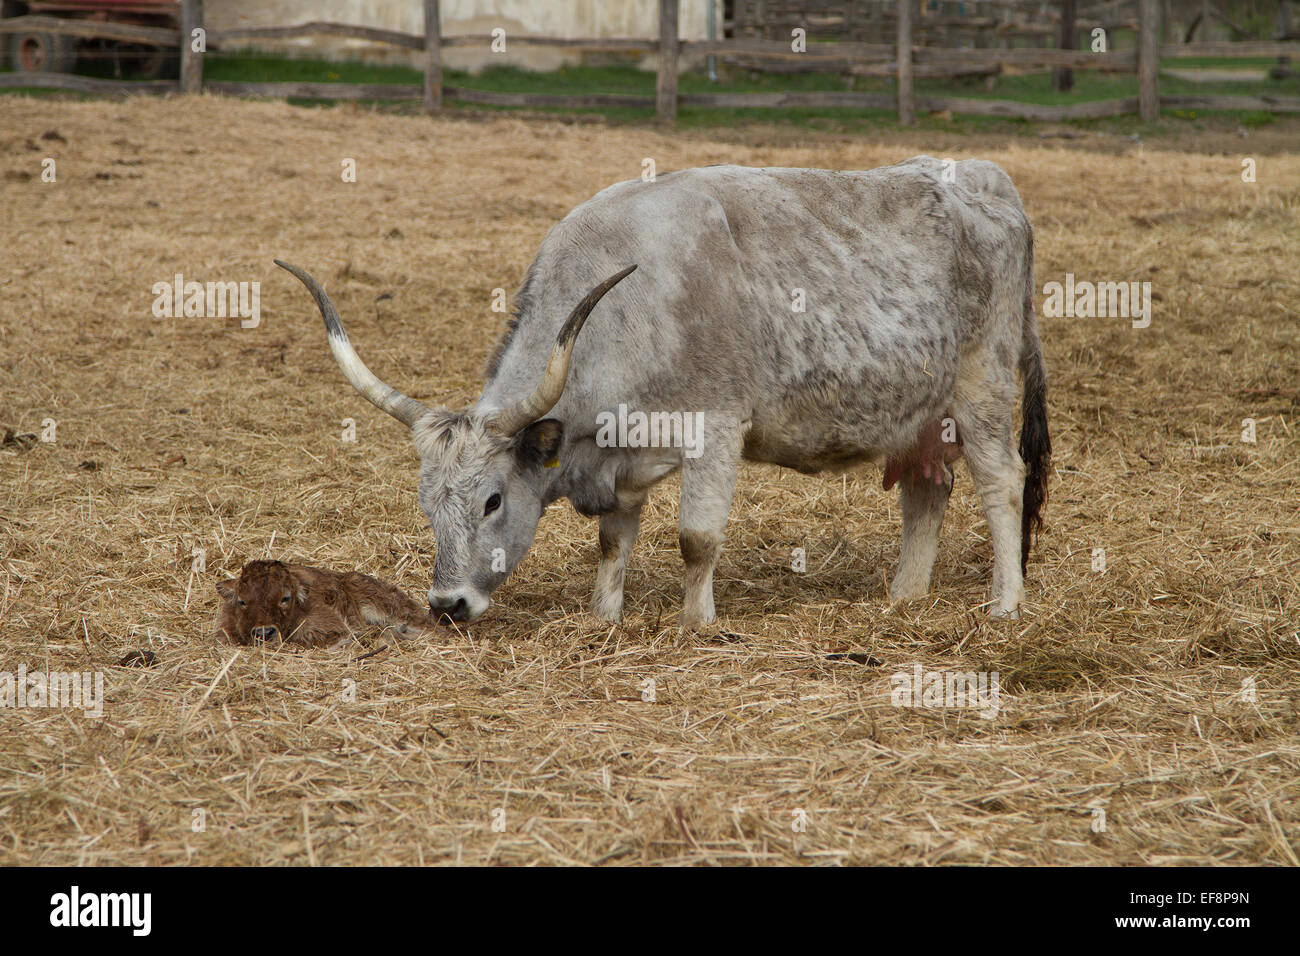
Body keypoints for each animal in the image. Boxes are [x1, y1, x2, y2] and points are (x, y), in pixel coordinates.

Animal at [276, 155, 1050, 629]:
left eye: (493, 500)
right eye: (425, 504)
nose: (447, 604)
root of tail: (982, 179)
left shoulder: (716, 430)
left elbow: (696, 539)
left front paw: (695, 622)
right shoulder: (620, 459)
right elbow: (613, 542)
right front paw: (604, 615)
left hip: (981, 387)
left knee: (1002, 482)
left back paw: (1006, 602)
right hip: (918, 415)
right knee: (927, 494)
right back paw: (903, 596)